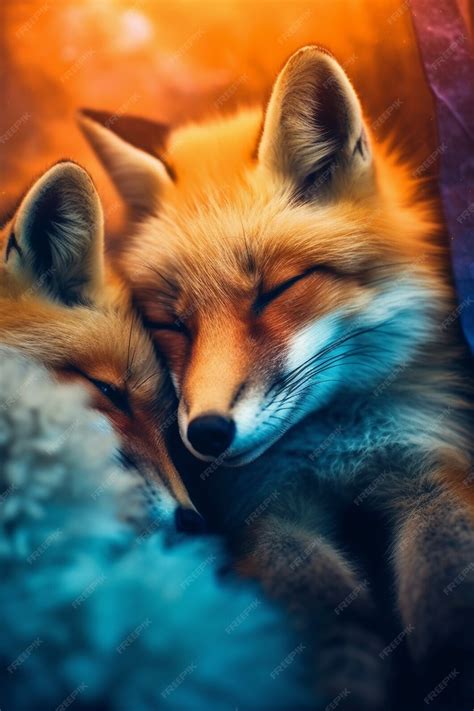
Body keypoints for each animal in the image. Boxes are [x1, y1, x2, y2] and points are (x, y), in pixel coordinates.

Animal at [79, 46, 474, 709]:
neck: (337, 447)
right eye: (171, 323)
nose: (207, 434)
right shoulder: (263, 510)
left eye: (275, 291)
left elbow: (447, 598)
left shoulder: (430, 465)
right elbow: (329, 618)